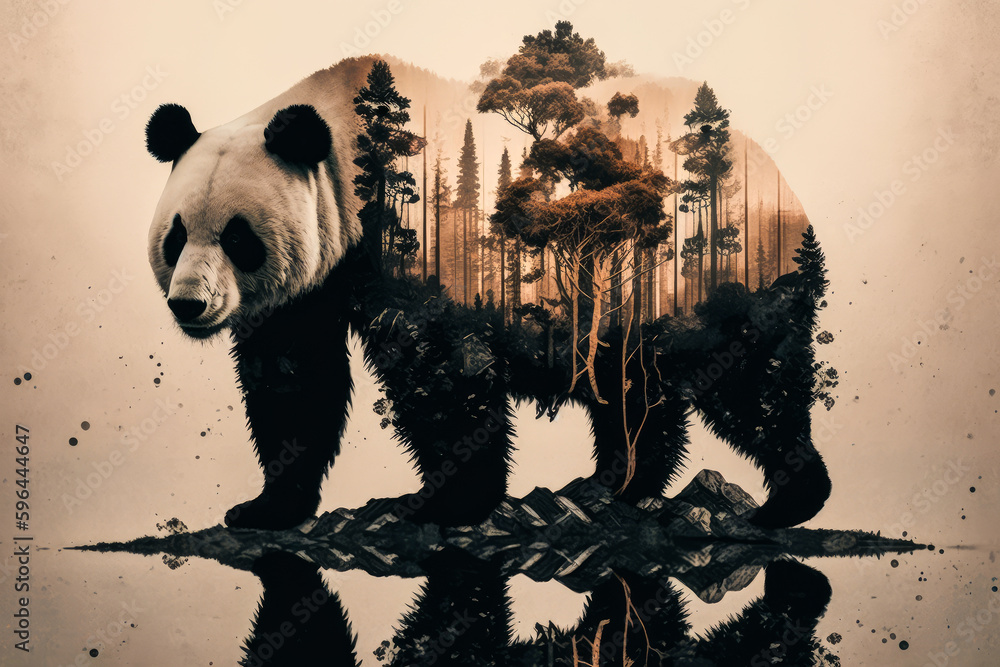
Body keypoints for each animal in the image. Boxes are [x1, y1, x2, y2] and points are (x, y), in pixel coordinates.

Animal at [144, 57, 832, 531]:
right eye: (175, 237)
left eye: (238, 238)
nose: (189, 305)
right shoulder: (313, 278)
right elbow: (295, 378)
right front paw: (267, 507)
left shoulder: (412, 242)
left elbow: (445, 369)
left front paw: (446, 501)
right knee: (637, 389)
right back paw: (616, 484)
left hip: (714, 278)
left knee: (752, 384)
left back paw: (788, 499)